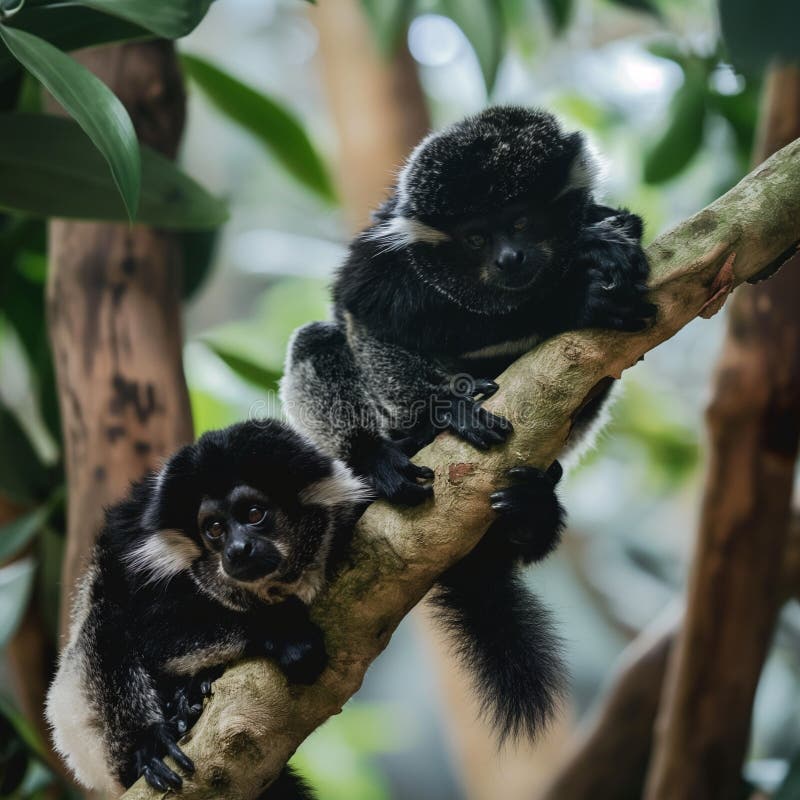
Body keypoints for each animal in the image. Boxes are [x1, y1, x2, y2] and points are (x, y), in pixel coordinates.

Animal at [45, 420, 372, 797]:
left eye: (254, 514)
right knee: (105, 623)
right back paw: (156, 738)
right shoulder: (143, 564)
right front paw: (281, 633)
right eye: (215, 529)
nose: (238, 549)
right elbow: (150, 632)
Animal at [281, 106, 656, 741]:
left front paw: (596, 260)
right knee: (318, 341)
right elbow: (363, 319)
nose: (510, 258)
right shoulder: (384, 266)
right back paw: (384, 458)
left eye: (523, 222)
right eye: (478, 236)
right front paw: (443, 411)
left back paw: (530, 512)